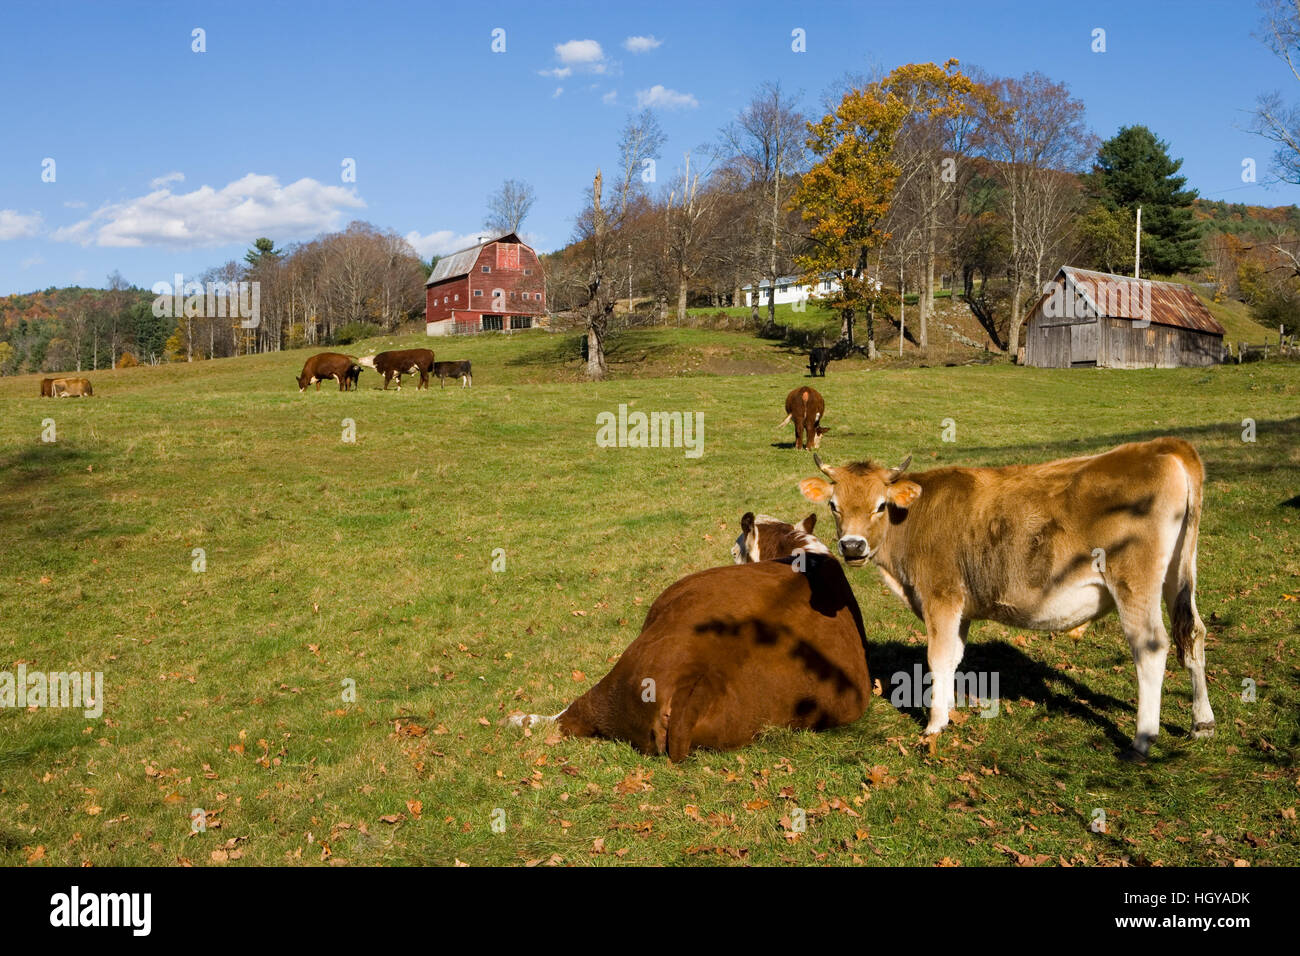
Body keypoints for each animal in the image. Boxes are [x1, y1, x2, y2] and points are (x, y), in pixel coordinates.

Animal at [508, 512, 871, 761]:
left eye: (734, 552)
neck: (804, 553)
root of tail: (695, 674)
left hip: (611, 685)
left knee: (563, 719)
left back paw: (515, 719)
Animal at [797, 437, 1214, 758]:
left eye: (881, 505)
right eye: (834, 505)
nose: (852, 546)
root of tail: (1159, 447)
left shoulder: (940, 594)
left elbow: (937, 657)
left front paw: (934, 724)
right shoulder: (961, 606)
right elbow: (954, 657)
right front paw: (950, 710)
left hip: (1134, 580)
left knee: (1151, 646)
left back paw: (1142, 739)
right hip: (1178, 573)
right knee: (1192, 634)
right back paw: (1202, 723)